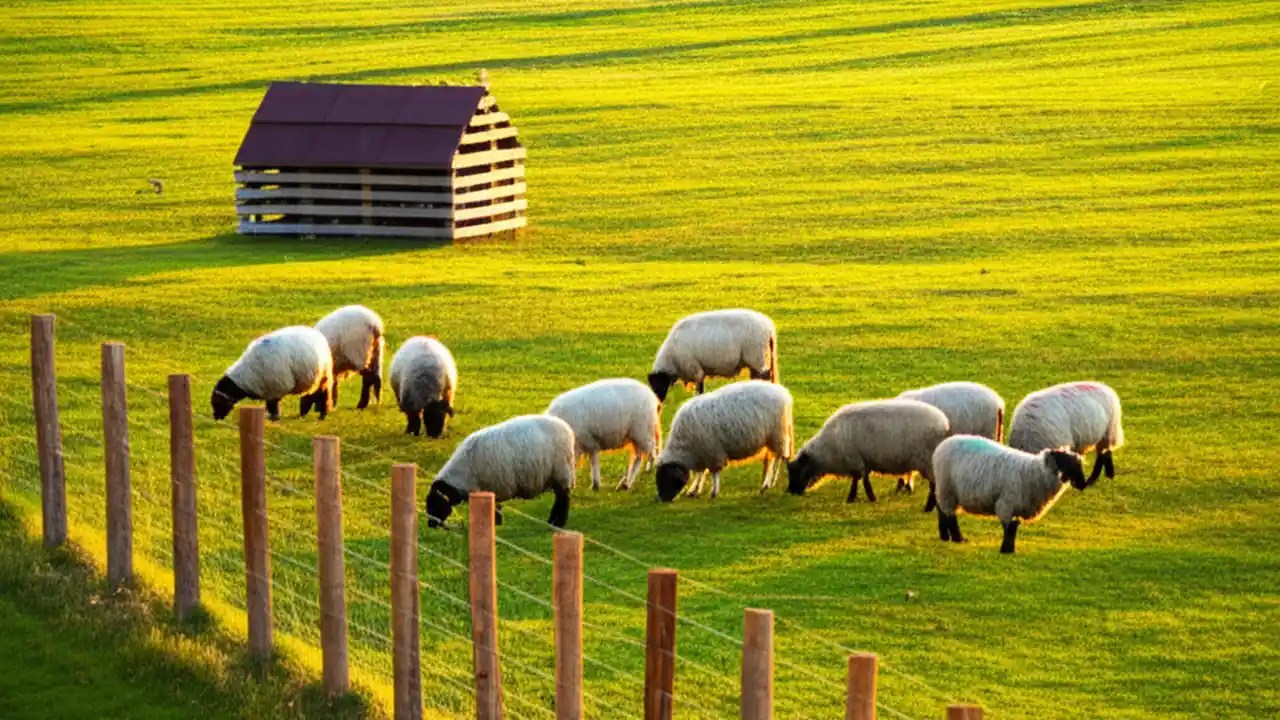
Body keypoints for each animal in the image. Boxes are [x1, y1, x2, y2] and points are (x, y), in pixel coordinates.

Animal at [425, 414, 576, 529]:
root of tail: (566, 427)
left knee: (564, 499)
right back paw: (552, 522)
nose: (431, 525)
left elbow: (494, 508)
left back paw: (558, 523)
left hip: (562, 471)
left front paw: (494, 523)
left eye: (436, 504)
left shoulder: (493, 486)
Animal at [647, 309, 778, 403]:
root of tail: (769, 328)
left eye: (657, 385)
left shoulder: (694, 369)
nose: (658, 404)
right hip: (758, 359)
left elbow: (699, 389)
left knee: (765, 377)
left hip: (758, 356)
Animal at [655, 380, 793, 501]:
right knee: (777, 456)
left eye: (667, 478)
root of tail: (784, 393)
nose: (663, 499)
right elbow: (700, 473)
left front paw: (713, 492)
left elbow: (713, 473)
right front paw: (694, 490)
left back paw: (768, 483)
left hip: (777, 434)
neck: (684, 447)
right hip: (776, 436)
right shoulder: (702, 454)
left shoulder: (712, 452)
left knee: (779, 457)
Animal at [786, 399, 950, 512]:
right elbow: (864, 481)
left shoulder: (854, 461)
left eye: (797, 471)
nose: (791, 492)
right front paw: (870, 498)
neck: (827, 449)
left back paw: (928, 507)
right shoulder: (863, 461)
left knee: (934, 485)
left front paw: (852, 498)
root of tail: (944, 425)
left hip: (926, 460)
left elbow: (857, 481)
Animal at [933, 435, 1088, 554]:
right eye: (1067, 464)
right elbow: (1008, 528)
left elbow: (1014, 527)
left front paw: (1011, 549)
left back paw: (945, 536)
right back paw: (958, 538)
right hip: (947, 489)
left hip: (945, 490)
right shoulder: (1006, 503)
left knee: (941, 510)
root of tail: (943, 444)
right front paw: (1006, 550)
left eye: (1079, 465)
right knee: (949, 514)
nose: (1082, 484)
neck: (1035, 473)